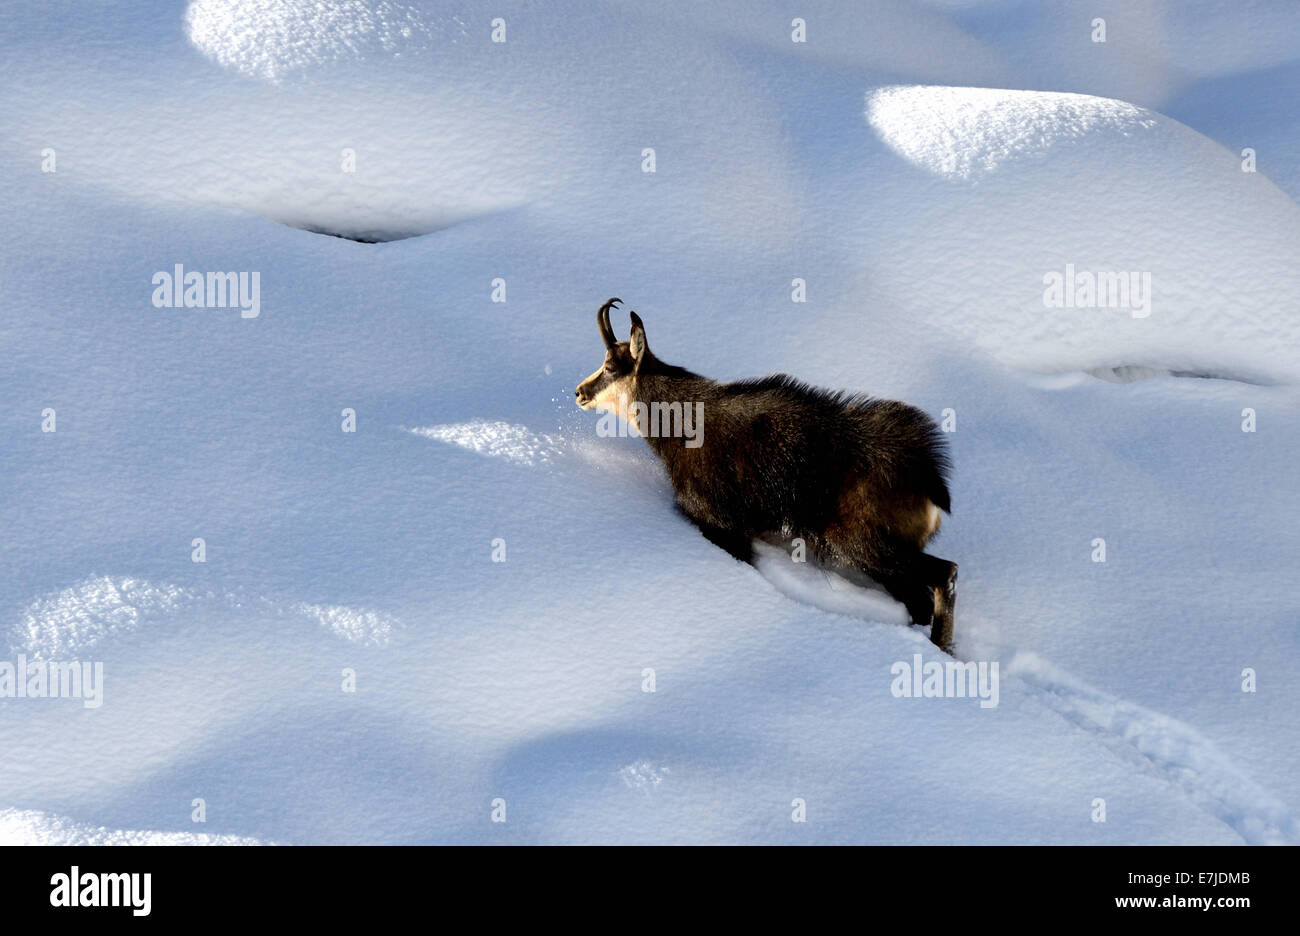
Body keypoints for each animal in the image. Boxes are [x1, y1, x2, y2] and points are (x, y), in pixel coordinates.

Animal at [575, 298, 958, 649]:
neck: (680, 426)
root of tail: (928, 478)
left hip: (866, 544)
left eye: (610, 366)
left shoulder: (718, 520)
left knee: (943, 576)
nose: (580, 392)